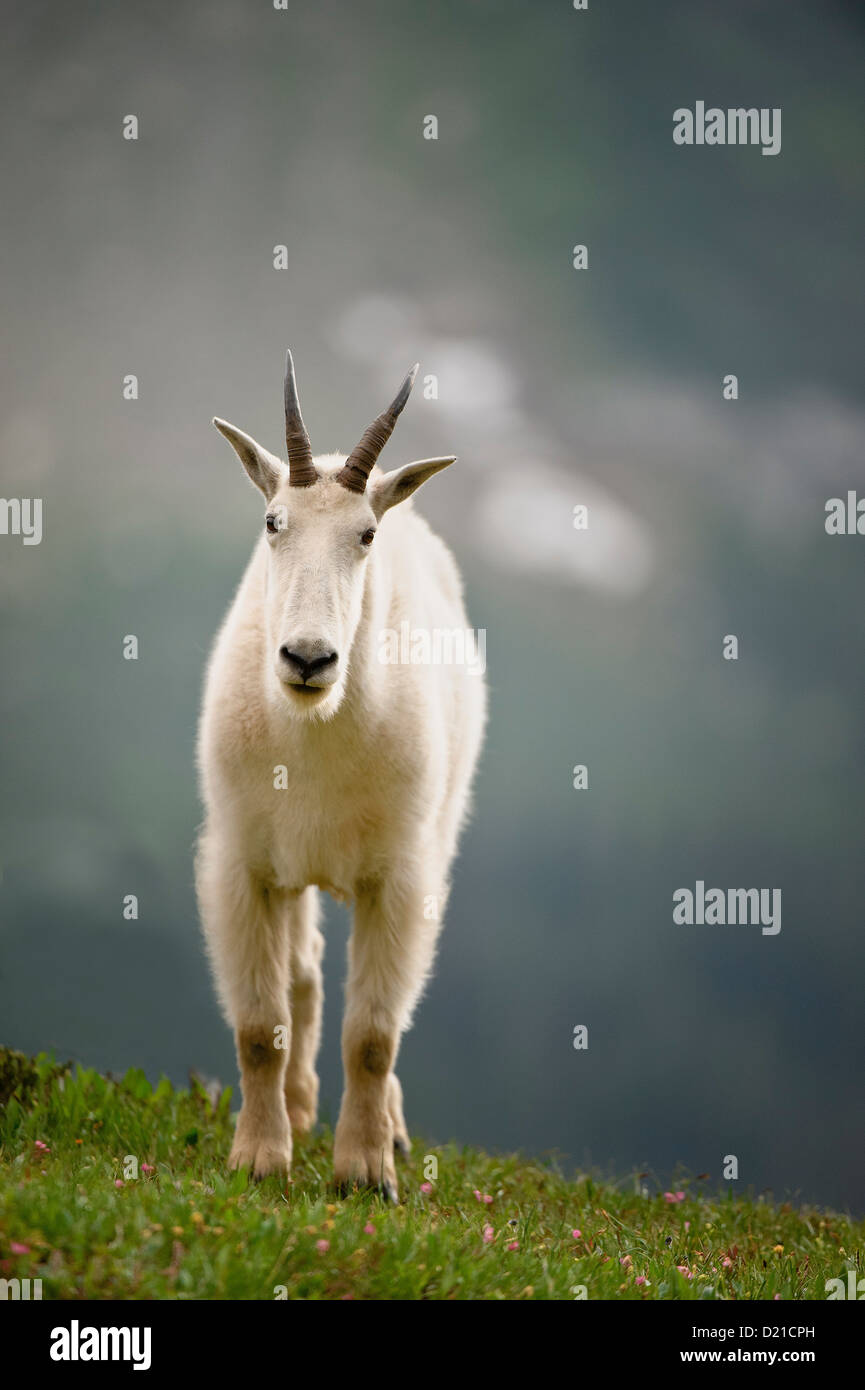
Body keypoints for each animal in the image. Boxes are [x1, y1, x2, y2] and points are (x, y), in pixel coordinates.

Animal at [196, 351, 487, 1198]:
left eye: (365, 534)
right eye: (272, 523)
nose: (307, 658)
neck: (313, 736)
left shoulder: (399, 878)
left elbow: (373, 1035)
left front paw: (364, 1172)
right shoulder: (242, 864)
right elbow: (260, 1025)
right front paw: (260, 1158)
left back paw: (388, 1130)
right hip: (291, 874)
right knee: (303, 976)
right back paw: (295, 1111)